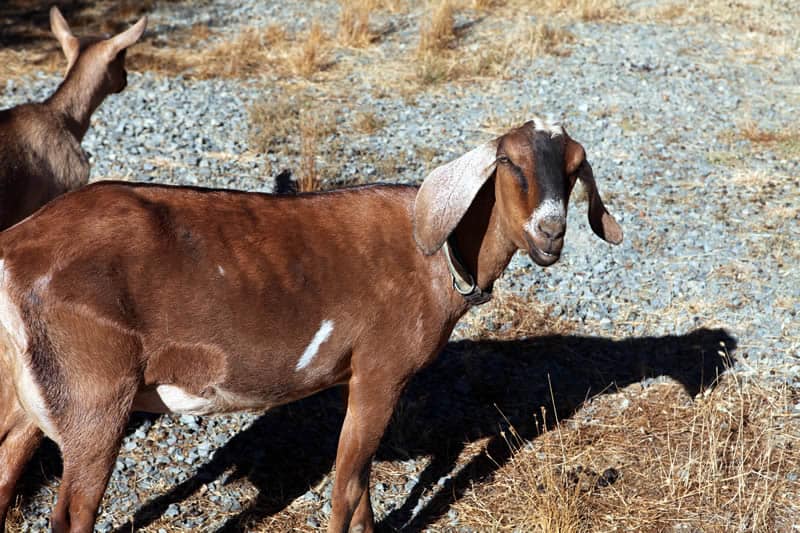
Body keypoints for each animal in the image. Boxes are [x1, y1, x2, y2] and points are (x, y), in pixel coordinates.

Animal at [0, 119, 622, 532]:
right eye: (511, 164)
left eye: (574, 170)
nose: (550, 234)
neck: (437, 255)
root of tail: (14, 249)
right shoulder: (379, 371)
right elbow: (347, 485)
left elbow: (360, 485)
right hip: (94, 399)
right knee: (71, 515)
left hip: (29, 392)